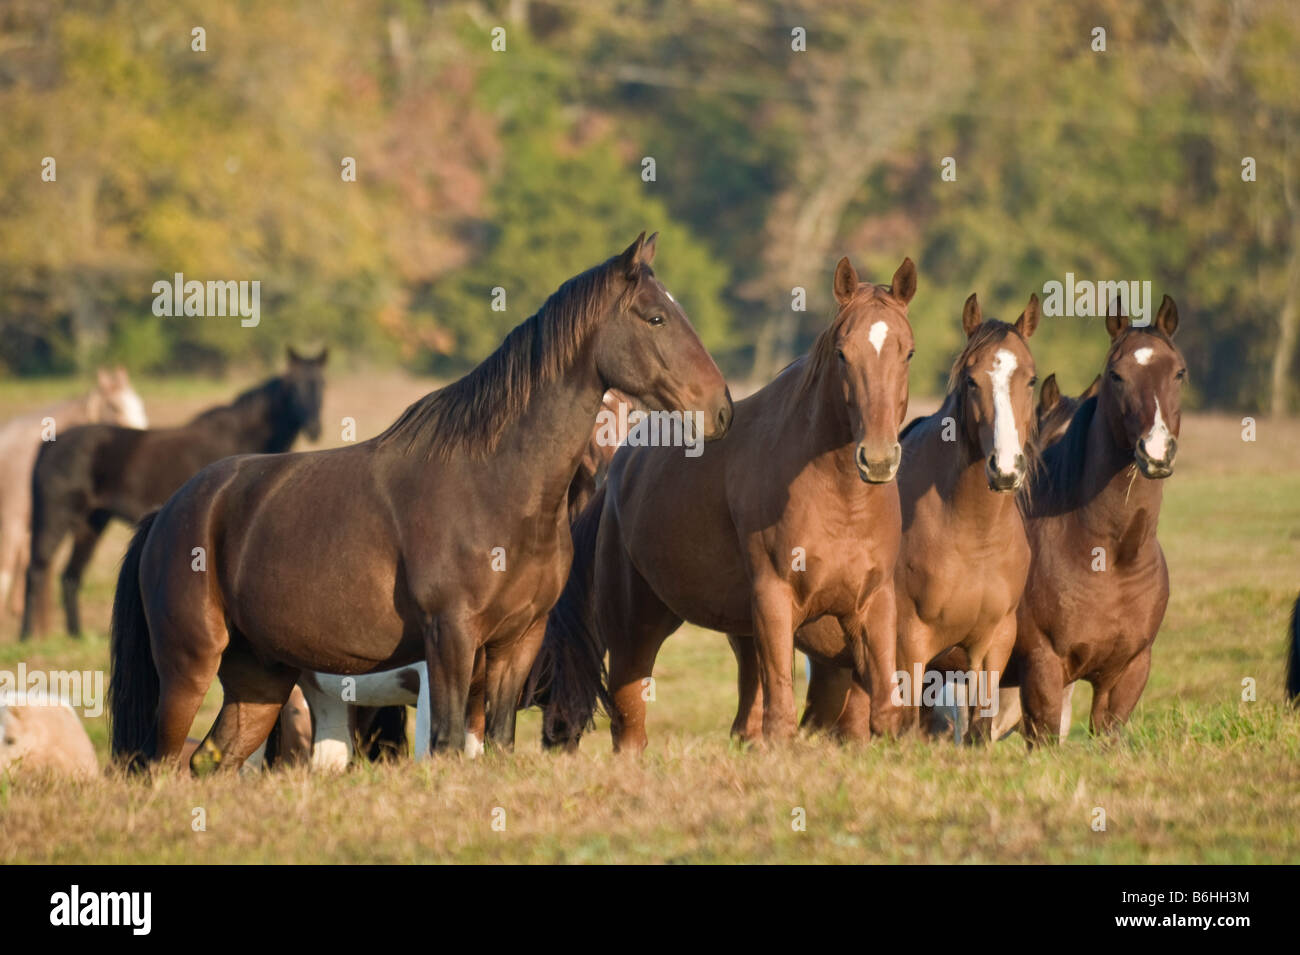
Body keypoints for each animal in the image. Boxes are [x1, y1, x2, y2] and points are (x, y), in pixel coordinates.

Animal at [20, 348, 326, 641]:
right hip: (54, 519)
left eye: (321, 385)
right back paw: (27, 636)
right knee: (35, 571)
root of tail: (49, 444)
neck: (241, 437)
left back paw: (76, 635)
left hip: (92, 524)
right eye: (295, 387)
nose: (314, 429)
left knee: (70, 576)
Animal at [108, 233, 733, 772]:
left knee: (212, 761)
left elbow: (498, 744)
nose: (721, 409)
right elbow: (449, 745)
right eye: (655, 317)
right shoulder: (450, 638)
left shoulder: (518, 640)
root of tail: (168, 515)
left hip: (259, 679)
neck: (496, 490)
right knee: (165, 762)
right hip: (189, 667)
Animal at [540, 256, 917, 753]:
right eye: (842, 353)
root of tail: (621, 467)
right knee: (631, 725)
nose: (877, 458)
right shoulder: (775, 600)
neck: (840, 501)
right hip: (635, 628)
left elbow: (878, 716)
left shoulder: (872, 605)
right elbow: (782, 718)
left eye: (907, 353)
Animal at [781, 293, 1041, 743]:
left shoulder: (993, 643)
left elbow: (980, 728)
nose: (1006, 468)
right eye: (971, 380)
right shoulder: (909, 645)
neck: (972, 534)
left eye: (1030, 380)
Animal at [998, 297, 1185, 745]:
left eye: (1179, 372)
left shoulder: (1126, 674)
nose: (1156, 451)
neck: (1109, 556)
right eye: (1117, 375)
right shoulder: (1043, 669)